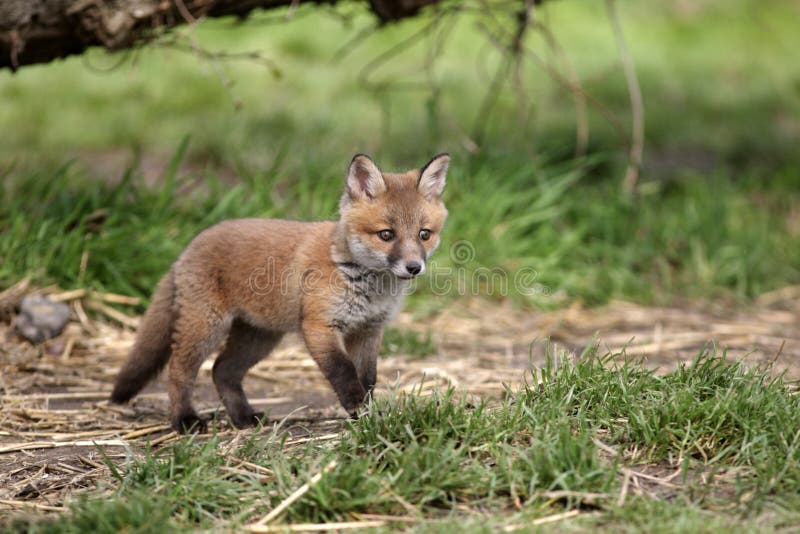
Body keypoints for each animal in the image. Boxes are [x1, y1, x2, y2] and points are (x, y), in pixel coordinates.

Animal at [110, 153, 449, 433]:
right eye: (386, 235)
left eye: (424, 234)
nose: (414, 267)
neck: (363, 284)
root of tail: (189, 246)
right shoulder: (319, 327)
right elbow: (344, 374)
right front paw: (360, 413)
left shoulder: (368, 330)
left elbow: (367, 379)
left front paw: (365, 417)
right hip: (207, 327)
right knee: (180, 370)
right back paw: (184, 420)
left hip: (259, 338)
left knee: (222, 371)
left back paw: (243, 418)